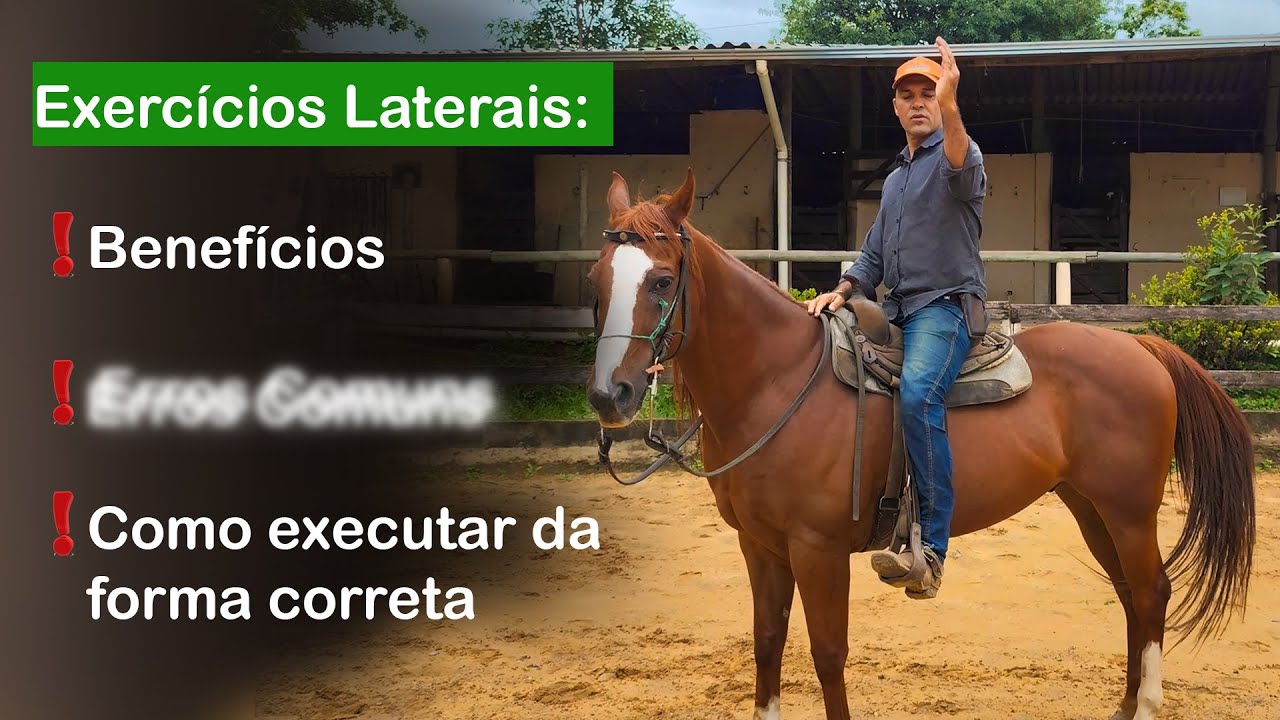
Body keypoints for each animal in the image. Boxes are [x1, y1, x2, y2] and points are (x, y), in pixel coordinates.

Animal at [584, 168, 1256, 720]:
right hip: (1089, 506)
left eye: (662, 279)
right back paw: (1123, 705)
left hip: (1129, 510)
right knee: (1129, 595)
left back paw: (1145, 706)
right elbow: (768, 643)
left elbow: (827, 652)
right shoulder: (761, 546)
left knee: (1151, 591)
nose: (609, 395)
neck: (777, 383)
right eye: (596, 279)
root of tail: (1142, 347)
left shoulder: (818, 550)